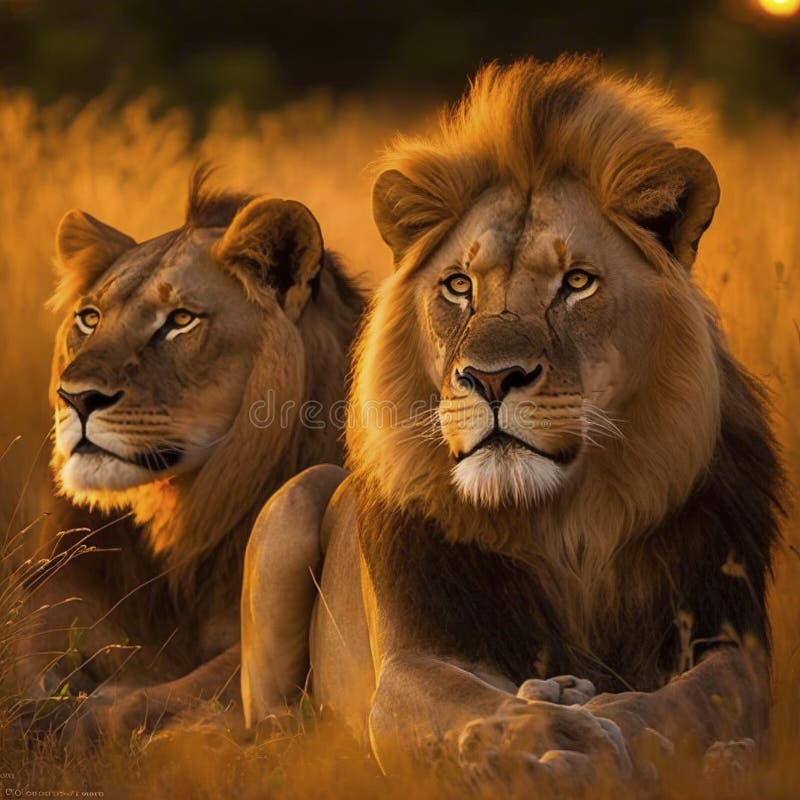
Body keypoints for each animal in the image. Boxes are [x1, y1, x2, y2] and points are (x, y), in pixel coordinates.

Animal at [17, 168, 363, 737]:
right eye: (89, 318)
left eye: (180, 320)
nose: (76, 397)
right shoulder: (63, 589)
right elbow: (26, 651)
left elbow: (182, 690)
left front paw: (90, 715)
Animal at [240, 56, 783, 788]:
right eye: (459, 286)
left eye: (576, 283)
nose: (492, 379)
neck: (564, 523)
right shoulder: (415, 654)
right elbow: (471, 702)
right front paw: (547, 733)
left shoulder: (731, 637)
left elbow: (691, 700)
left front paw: (613, 728)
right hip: (294, 501)